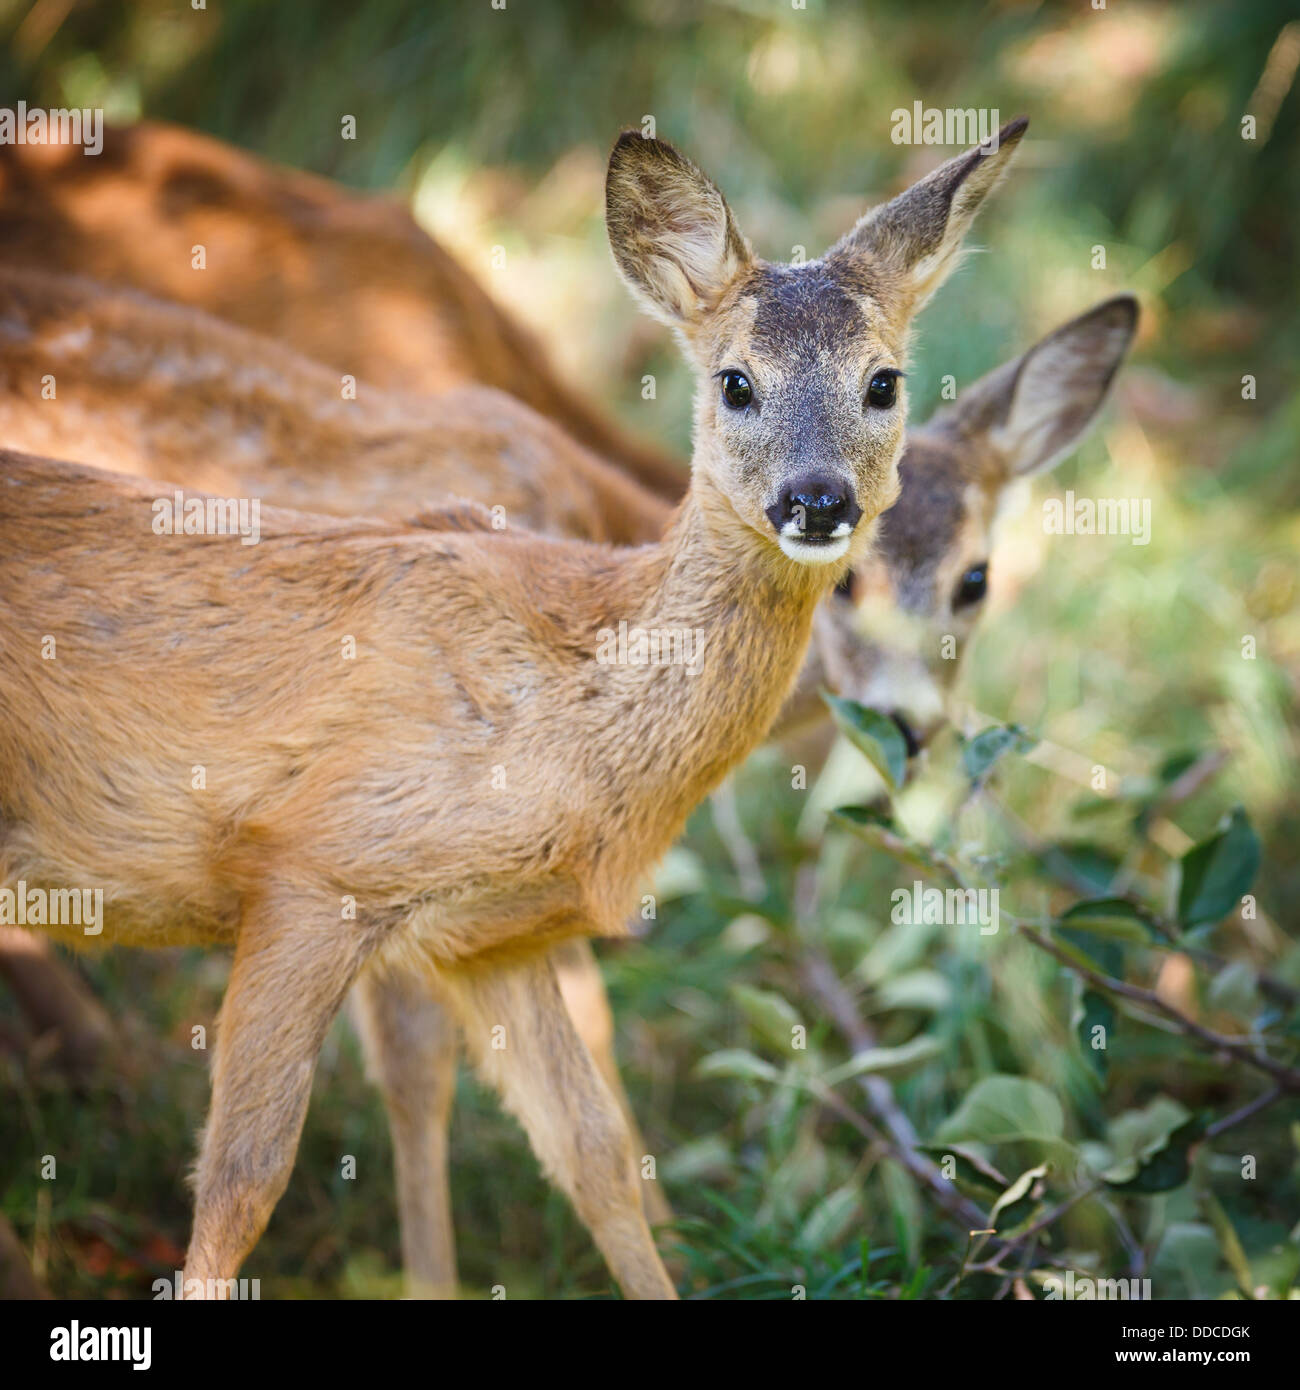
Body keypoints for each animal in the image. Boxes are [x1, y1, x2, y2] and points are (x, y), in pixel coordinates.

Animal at [0, 122, 1030, 1298]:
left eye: (883, 380)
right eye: (735, 382)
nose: (816, 499)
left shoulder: (492, 936)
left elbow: (594, 1152)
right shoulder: (315, 867)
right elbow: (247, 1183)